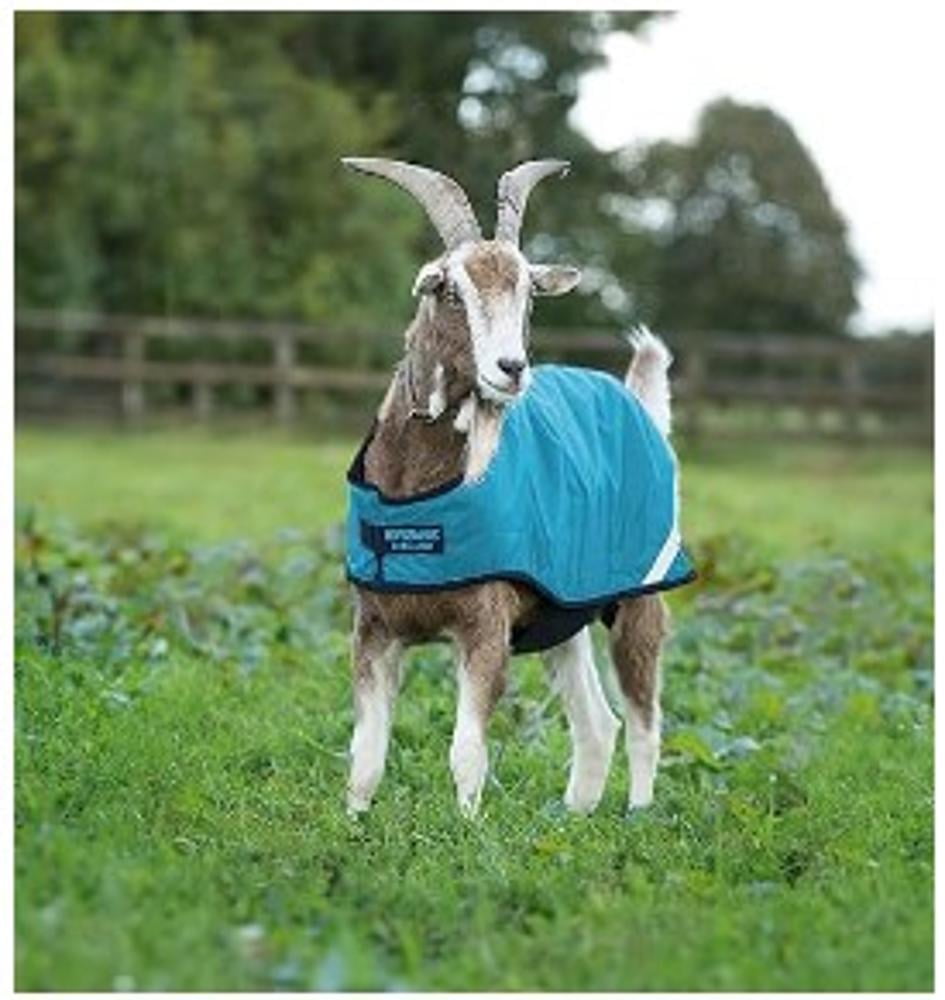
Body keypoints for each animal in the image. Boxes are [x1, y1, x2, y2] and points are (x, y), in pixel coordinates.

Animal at [341, 157, 694, 817]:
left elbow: (465, 752)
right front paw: (351, 827)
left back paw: (637, 816)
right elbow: (366, 755)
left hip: (640, 595)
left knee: (643, 718)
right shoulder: (374, 628)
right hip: (566, 609)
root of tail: (639, 406)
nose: (511, 369)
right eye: (450, 290)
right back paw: (574, 818)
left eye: (529, 293)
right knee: (596, 723)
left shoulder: (486, 626)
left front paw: (465, 832)